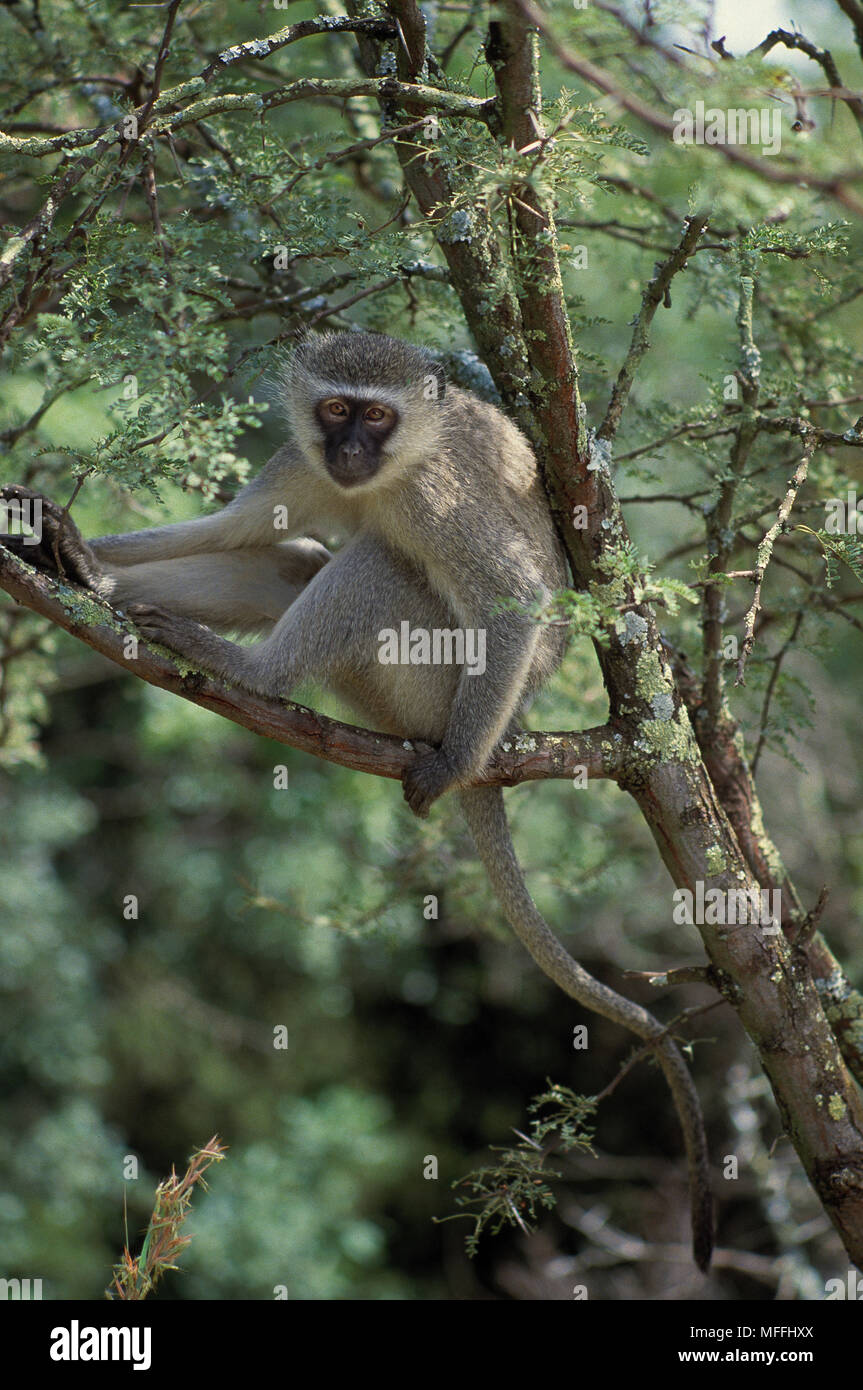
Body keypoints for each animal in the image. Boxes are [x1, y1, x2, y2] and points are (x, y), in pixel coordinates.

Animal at [0, 330, 712, 1268]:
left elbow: (512, 603)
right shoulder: (299, 466)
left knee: (369, 565)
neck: (387, 473)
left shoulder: (442, 501)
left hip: (430, 688)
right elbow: (229, 528)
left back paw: (261, 676)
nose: (345, 450)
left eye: (377, 416)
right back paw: (93, 582)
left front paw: (447, 770)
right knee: (289, 561)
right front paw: (59, 541)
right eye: (335, 409)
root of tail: (512, 729)